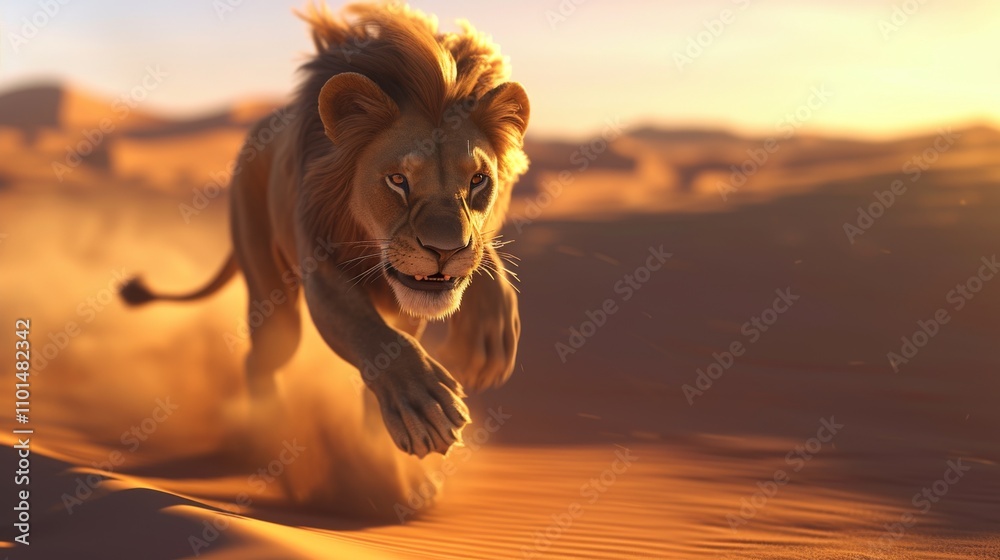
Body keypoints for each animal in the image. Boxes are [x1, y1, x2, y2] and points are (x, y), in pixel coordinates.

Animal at [120, 2, 528, 458]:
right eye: (397, 180)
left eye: (478, 180)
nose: (446, 250)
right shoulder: (322, 265)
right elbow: (371, 335)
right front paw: (424, 407)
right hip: (271, 297)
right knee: (260, 356)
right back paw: (267, 429)